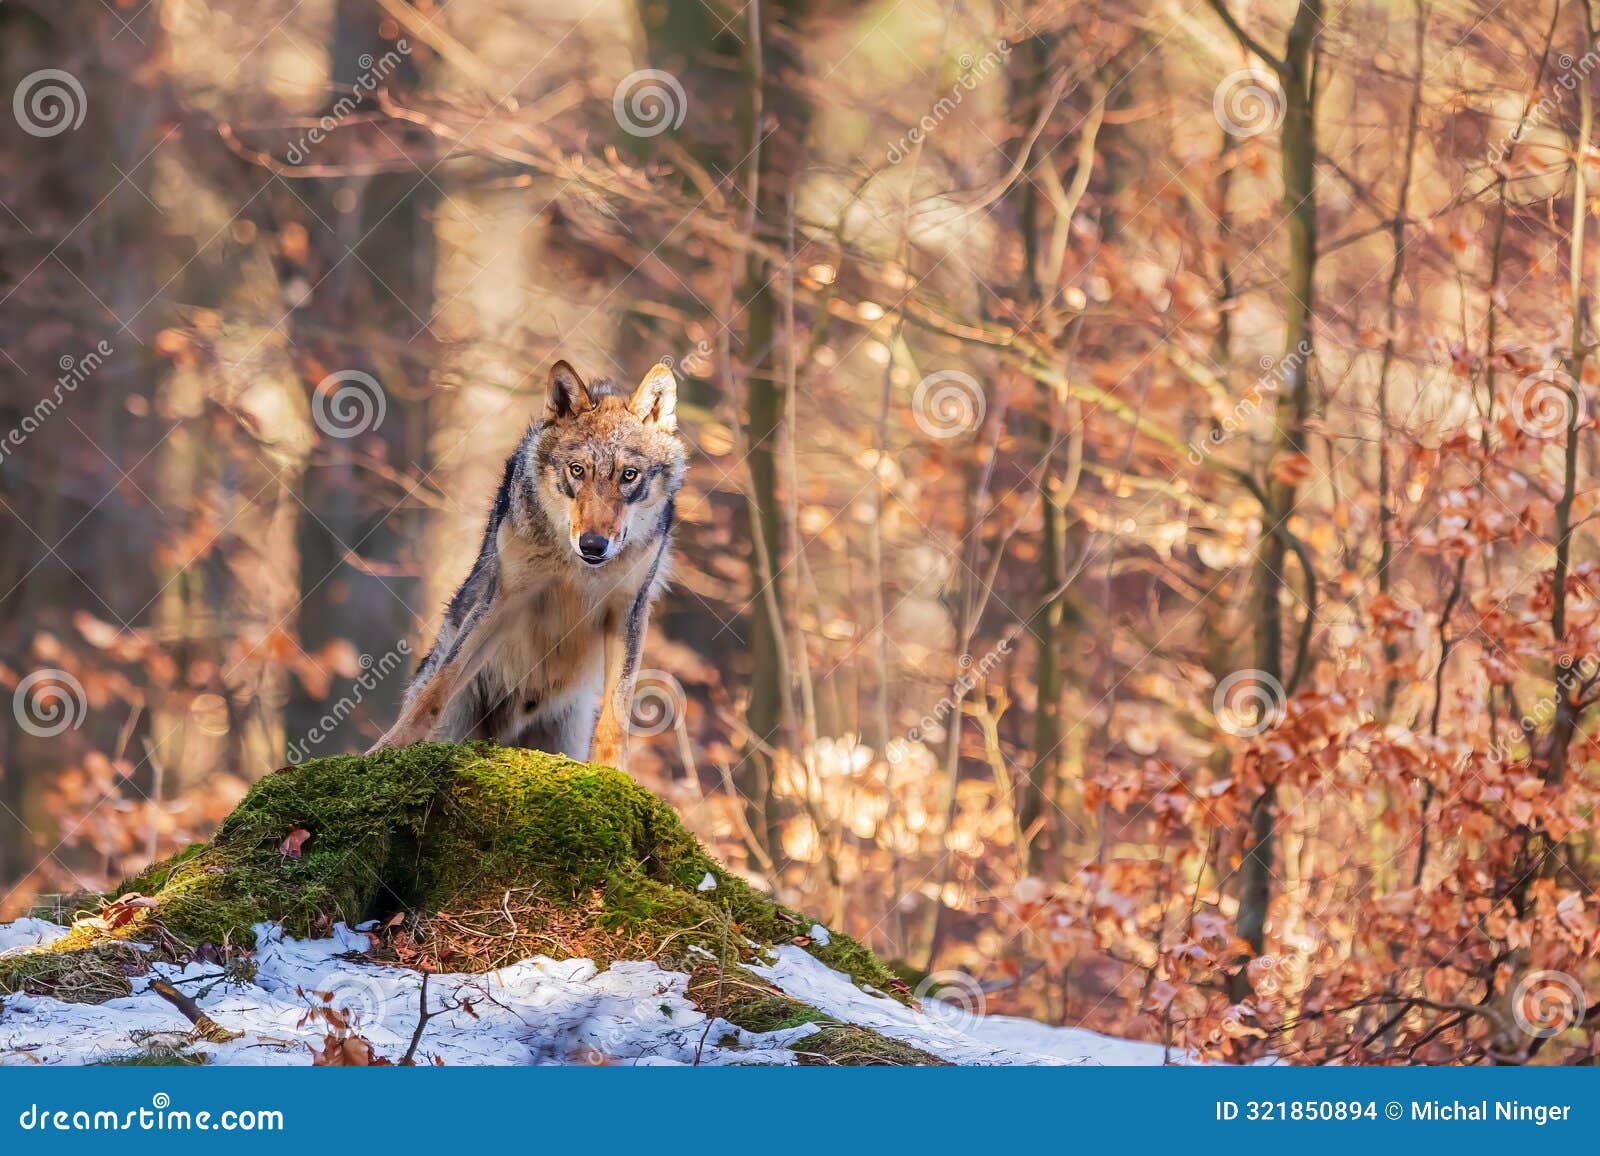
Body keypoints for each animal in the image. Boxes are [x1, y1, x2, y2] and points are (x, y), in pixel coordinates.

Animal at [370, 359, 686, 769]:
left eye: (628, 475)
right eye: (577, 470)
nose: (593, 545)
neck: (575, 568)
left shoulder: (628, 609)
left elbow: (616, 716)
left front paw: (613, 772)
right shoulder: (505, 597)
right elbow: (439, 686)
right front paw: (387, 748)